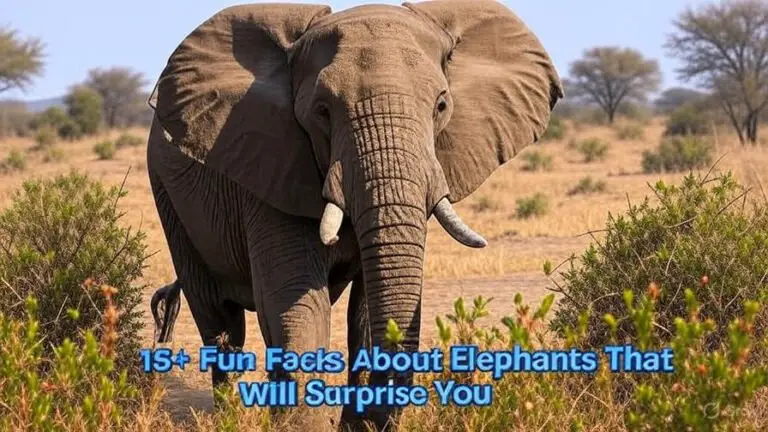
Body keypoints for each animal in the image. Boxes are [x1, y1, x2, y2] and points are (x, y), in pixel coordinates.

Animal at [146, 1, 562, 430]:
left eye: (442, 106)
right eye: (322, 112)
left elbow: (363, 311)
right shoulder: (270, 162)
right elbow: (296, 302)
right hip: (168, 195)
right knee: (220, 321)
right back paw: (230, 415)